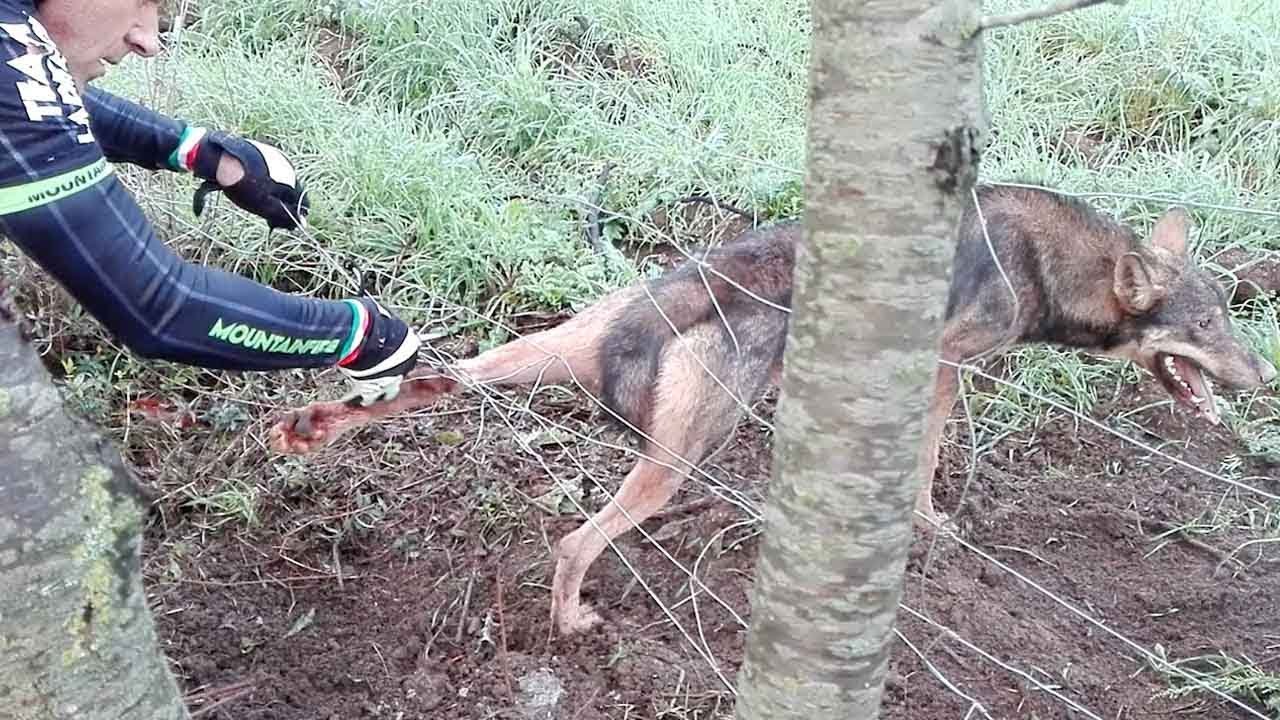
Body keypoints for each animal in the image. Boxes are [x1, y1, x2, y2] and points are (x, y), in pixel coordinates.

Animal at [266, 183, 1277, 636]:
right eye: (1208, 327)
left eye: (1232, 317)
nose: (1264, 378)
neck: (1049, 264)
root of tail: (661, 304)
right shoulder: (944, 367)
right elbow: (927, 462)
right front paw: (928, 525)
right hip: (676, 463)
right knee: (572, 542)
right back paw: (571, 622)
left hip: (523, 361)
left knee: (417, 386)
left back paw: (311, 428)